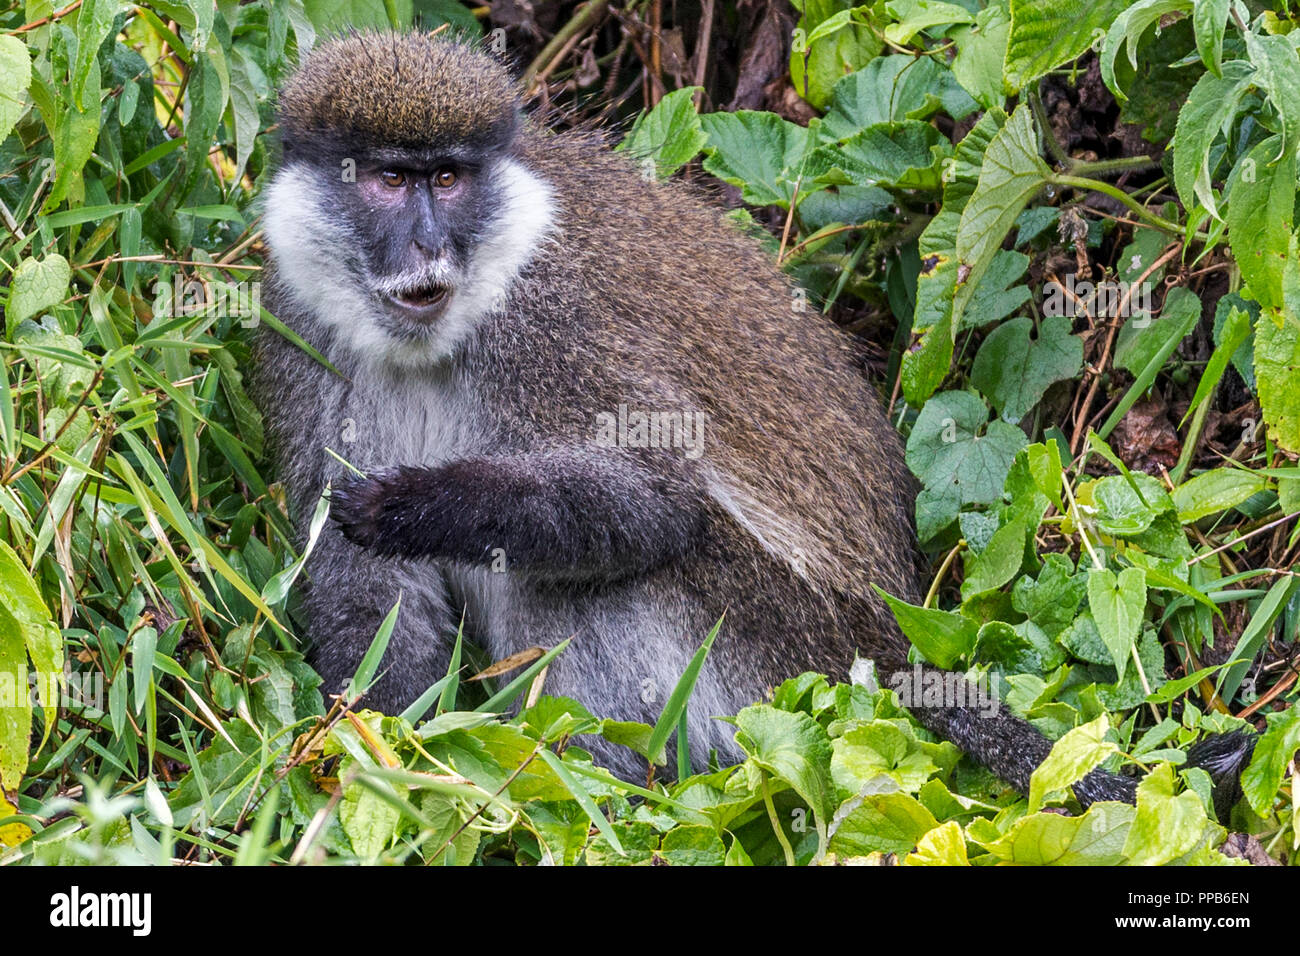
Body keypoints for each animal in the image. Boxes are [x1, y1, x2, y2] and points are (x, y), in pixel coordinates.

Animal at [253, 30, 1254, 814]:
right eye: (391, 180)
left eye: (448, 178)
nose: (428, 245)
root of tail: (879, 641)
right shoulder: (299, 328)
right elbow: (363, 584)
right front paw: (391, 755)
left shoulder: (553, 320)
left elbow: (654, 503)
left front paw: (424, 508)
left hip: (778, 660)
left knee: (594, 570)